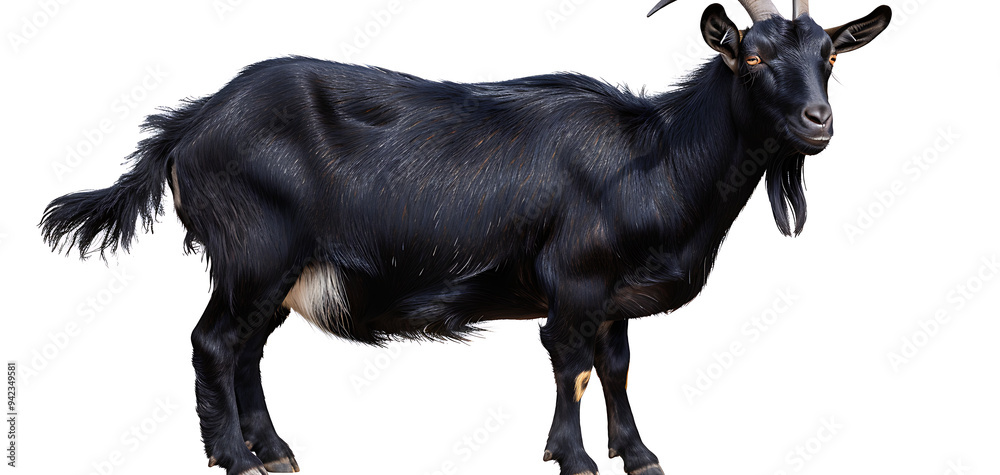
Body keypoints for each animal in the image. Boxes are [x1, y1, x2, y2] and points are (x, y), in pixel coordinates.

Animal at [40, 1, 891, 474]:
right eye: (752, 55)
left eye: (829, 55)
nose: (818, 122)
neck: (653, 154)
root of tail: (191, 123)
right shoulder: (574, 280)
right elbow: (573, 366)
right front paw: (575, 458)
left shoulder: (613, 292)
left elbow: (617, 366)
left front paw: (640, 454)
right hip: (255, 253)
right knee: (213, 342)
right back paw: (235, 461)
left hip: (276, 273)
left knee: (245, 348)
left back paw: (275, 454)